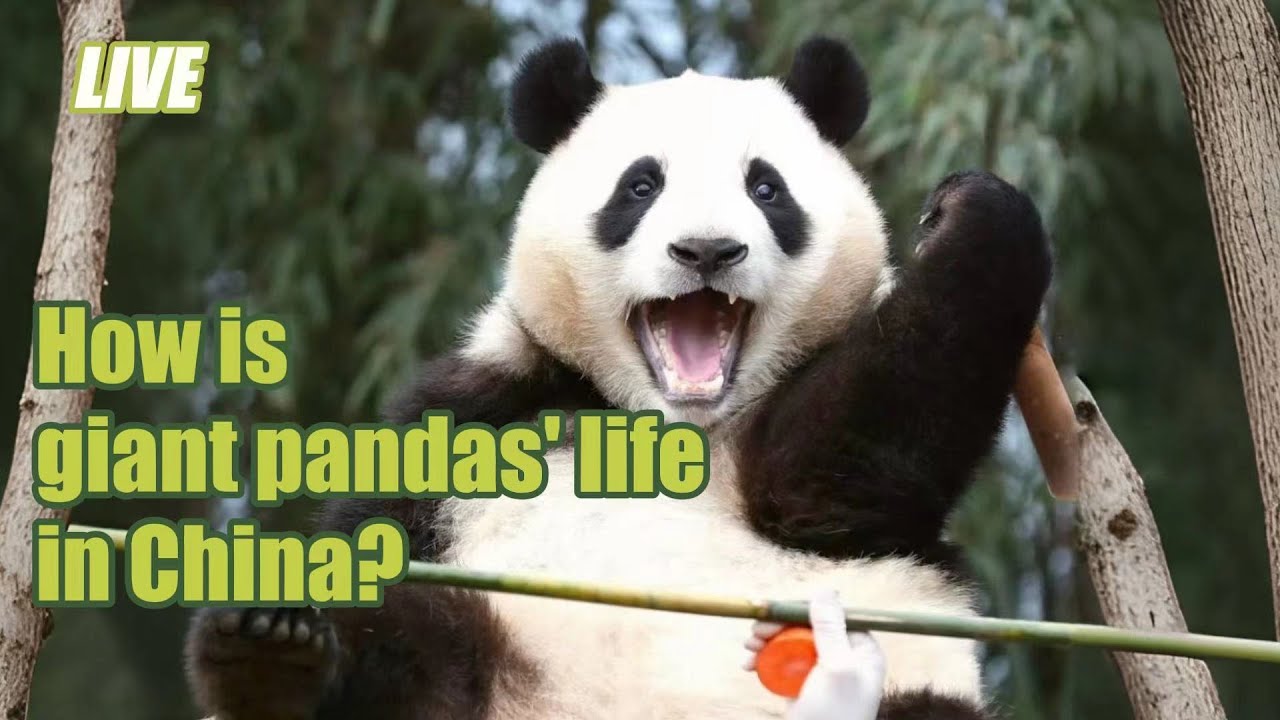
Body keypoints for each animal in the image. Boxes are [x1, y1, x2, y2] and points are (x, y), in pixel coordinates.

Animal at [187, 36, 1051, 720]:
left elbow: (839, 465)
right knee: (409, 633)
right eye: (641, 186)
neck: (673, 426)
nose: (708, 250)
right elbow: (367, 540)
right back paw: (270, 657)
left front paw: (973, 210)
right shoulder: (480, 412)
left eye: (765, 188)